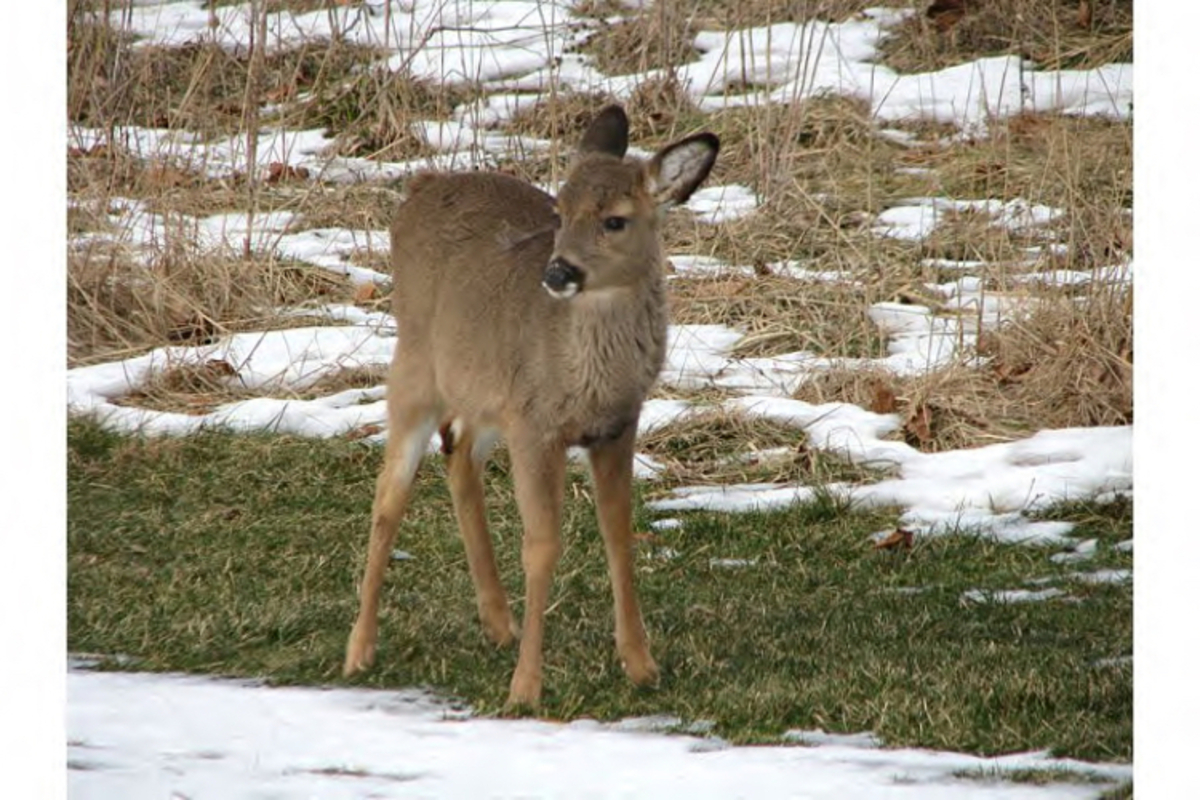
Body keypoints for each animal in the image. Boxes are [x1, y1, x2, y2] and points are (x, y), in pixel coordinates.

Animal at [343, 105, 720, 708]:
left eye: (615, 220)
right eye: (559, 210)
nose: (558, 272)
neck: (587, 374)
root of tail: (420, 187)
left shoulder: (616, 426)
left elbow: (619, 534)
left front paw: (641, 665)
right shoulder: (536, 425)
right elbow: (542, 546)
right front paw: (525, 689)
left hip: (486, 393)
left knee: (458, 453)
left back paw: (499, 623)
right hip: (415, 368)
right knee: (387, 498)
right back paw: (360, 650)